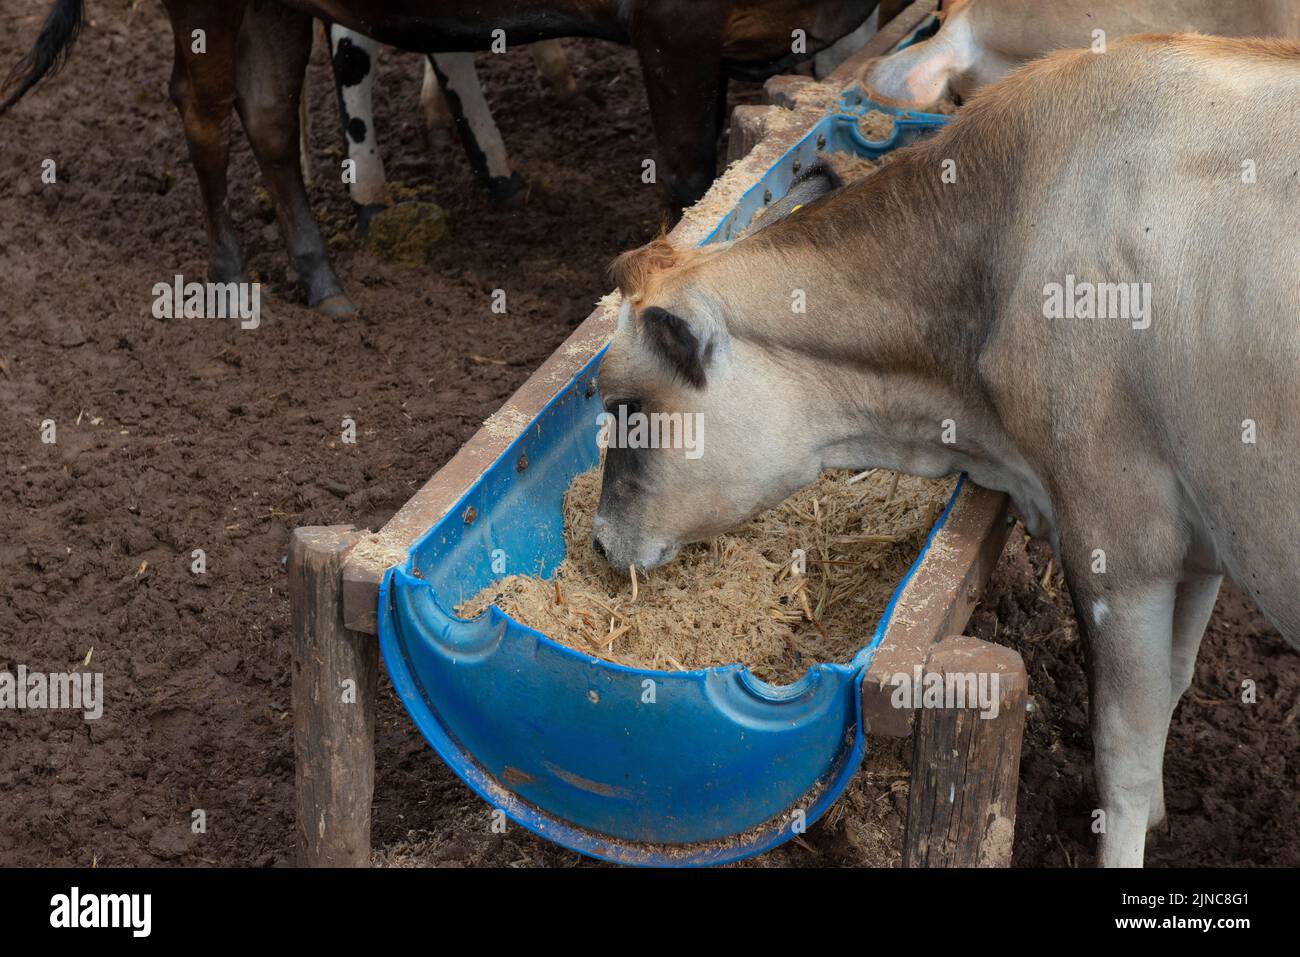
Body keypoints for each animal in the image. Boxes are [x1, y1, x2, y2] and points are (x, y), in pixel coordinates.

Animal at [1, 0, 881, 315]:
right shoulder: (673, 32)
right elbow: (689, 185)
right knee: (208, 108)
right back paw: (232, 266)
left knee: (269, 117)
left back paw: (323, 277)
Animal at [590, 34, 1300, 866]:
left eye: (625, 406)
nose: (599, 541)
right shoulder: (1201, 538)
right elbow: (1178, 680)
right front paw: (1161, 812)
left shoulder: (1121, 542)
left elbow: (1122, 747)